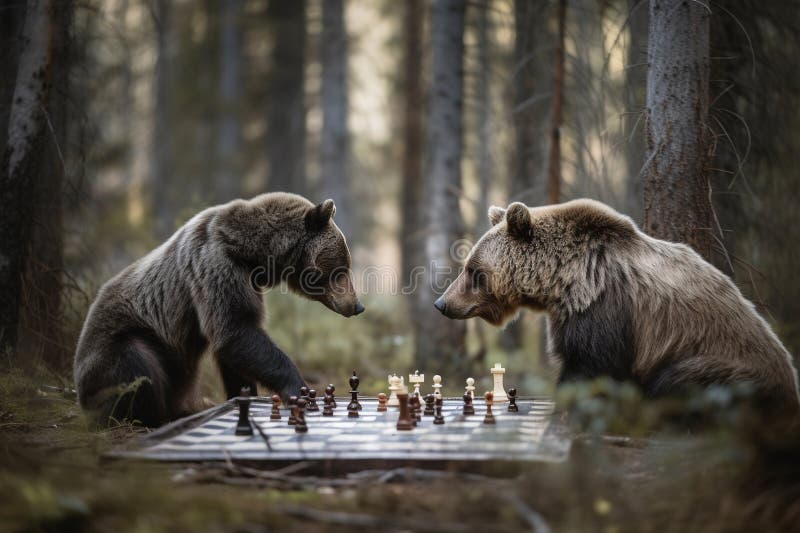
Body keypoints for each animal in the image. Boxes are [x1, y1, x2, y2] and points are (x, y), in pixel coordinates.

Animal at [74, 193, 364, 427]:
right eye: (342, 266)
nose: (357, 305)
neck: (253, 256)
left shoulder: (247, 284)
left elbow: (237, 349)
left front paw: (246, 395)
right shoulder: (216, 267)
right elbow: (235, 331)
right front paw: (298, 389)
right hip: (123, 344)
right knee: (137, 371)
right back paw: (156, 416)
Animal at [434, 199, 800, 411]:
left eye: (472, 270)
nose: (442, 303)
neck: (561, 281)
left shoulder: (602, 306)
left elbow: (591, 365)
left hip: (726, 368)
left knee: (677, 382)